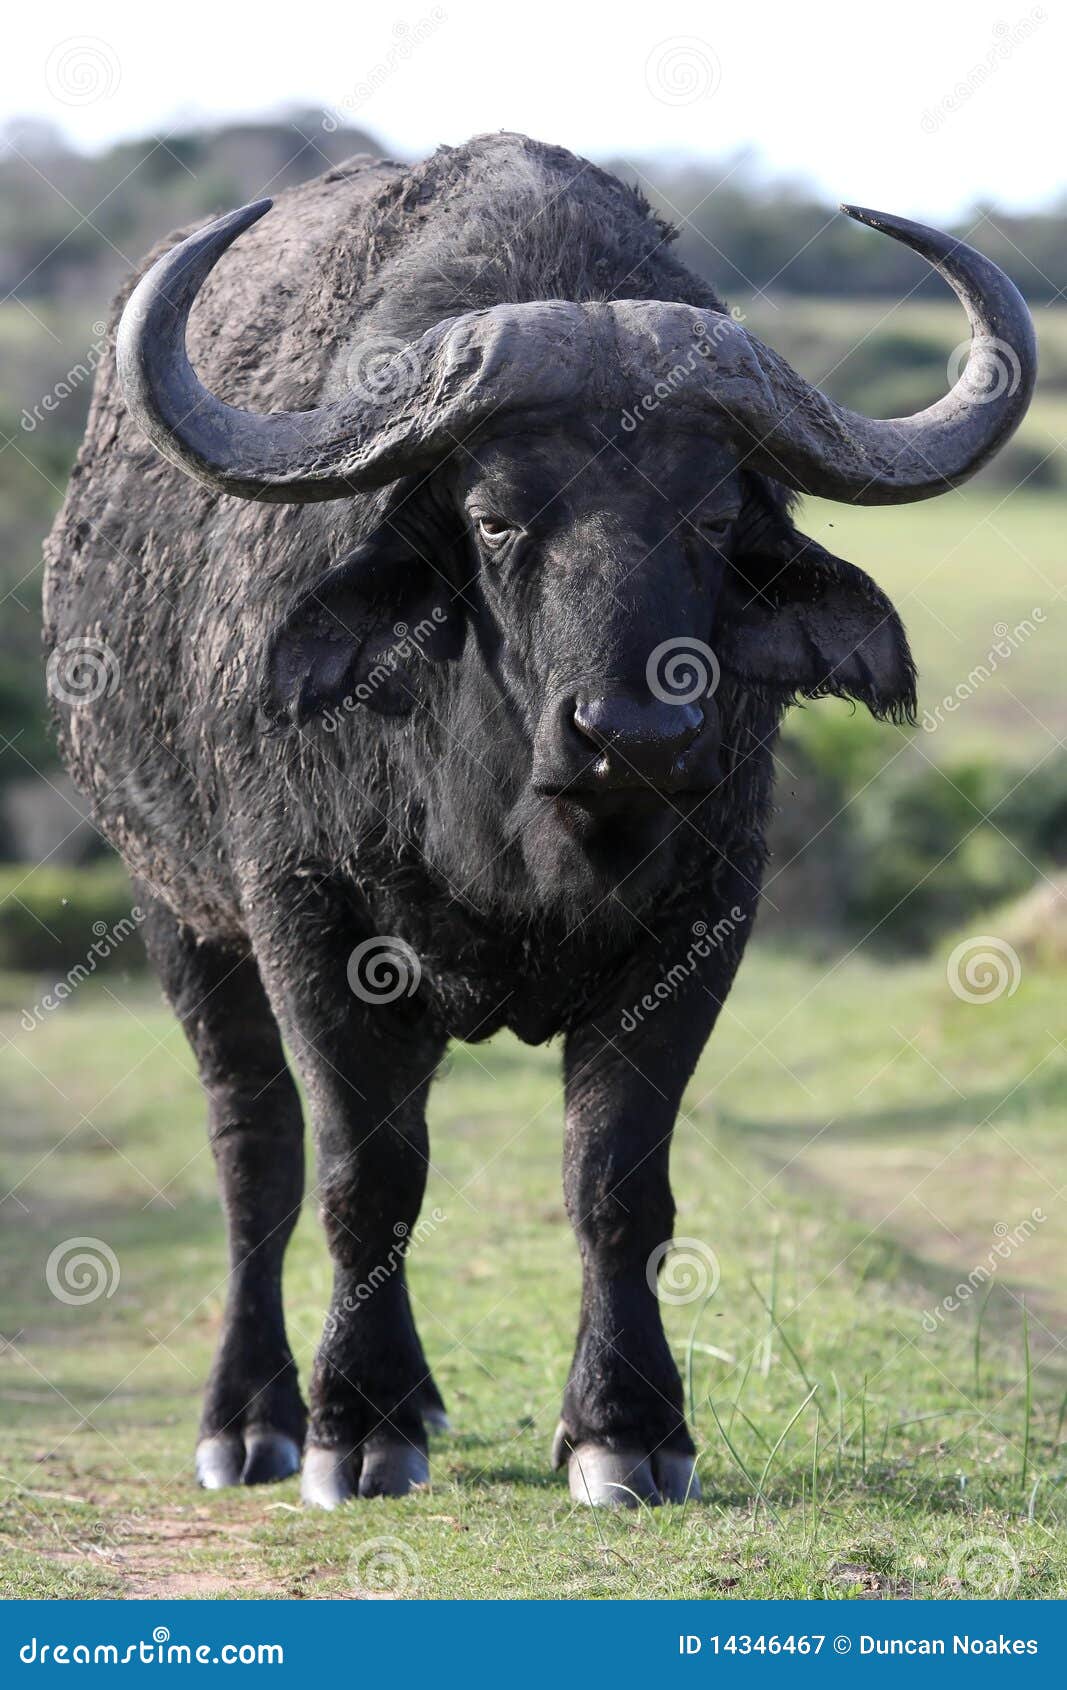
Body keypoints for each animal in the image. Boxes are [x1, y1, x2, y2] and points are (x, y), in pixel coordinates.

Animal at [43, 133, 1035, 1507]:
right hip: (173, 912)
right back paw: (252, 1415)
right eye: (496, 516)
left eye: (712, 516)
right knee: (255, 1157)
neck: (515, 818)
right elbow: (361, 1176)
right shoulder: (306, 922)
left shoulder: (702, 925)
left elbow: (614, 1179)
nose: (639, 733)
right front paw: (355, 1426)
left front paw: (626, 1427)